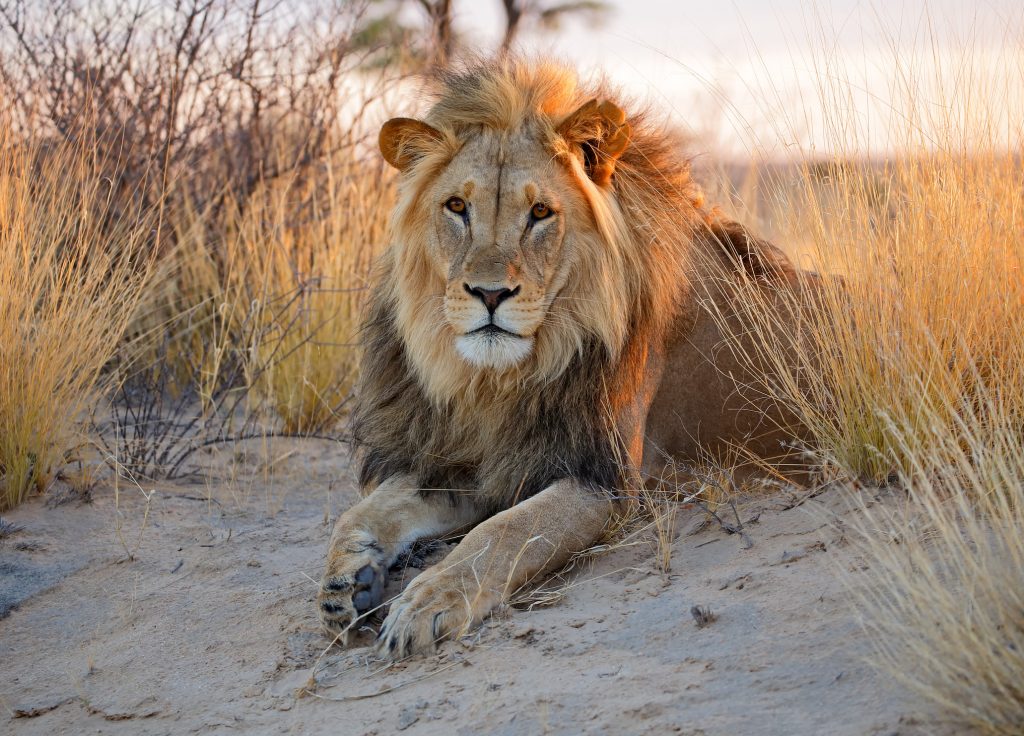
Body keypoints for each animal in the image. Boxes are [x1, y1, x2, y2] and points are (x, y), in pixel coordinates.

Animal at [318, 58, 816, 659]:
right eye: (457, 207)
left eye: (540, 213)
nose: (489, 294)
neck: (499, 381)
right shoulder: (480, 460)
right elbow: (366, 509)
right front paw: (347, 581)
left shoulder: (604, 480)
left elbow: (501, 533)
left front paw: (427, 601)